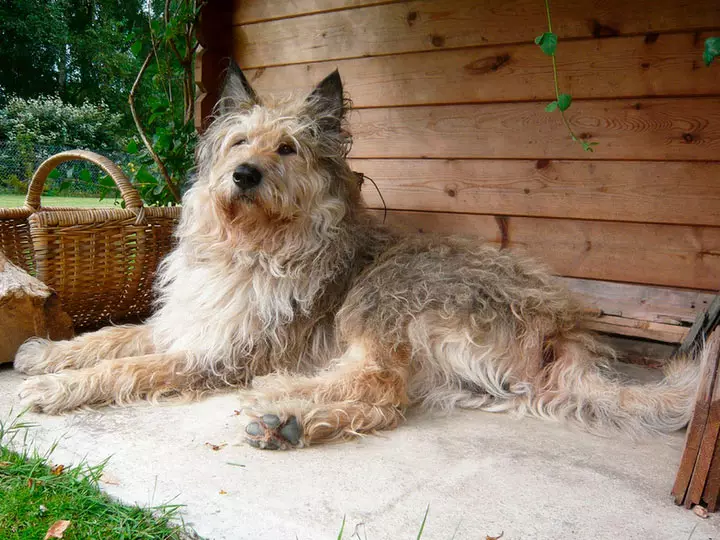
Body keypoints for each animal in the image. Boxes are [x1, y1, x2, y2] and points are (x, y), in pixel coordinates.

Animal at [12, 63, 704, 450]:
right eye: (239, 141)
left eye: (287, 149)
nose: (242, 175)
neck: (254, 245)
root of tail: (564, 329)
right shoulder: (190, 325)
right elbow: (115, 338)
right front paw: (46, 353)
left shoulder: (222, 352)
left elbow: (131, 367)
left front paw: (54, 389)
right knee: (383, 393)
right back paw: (289, 418)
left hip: (388, 293)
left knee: (382, 390)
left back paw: (286, 406)